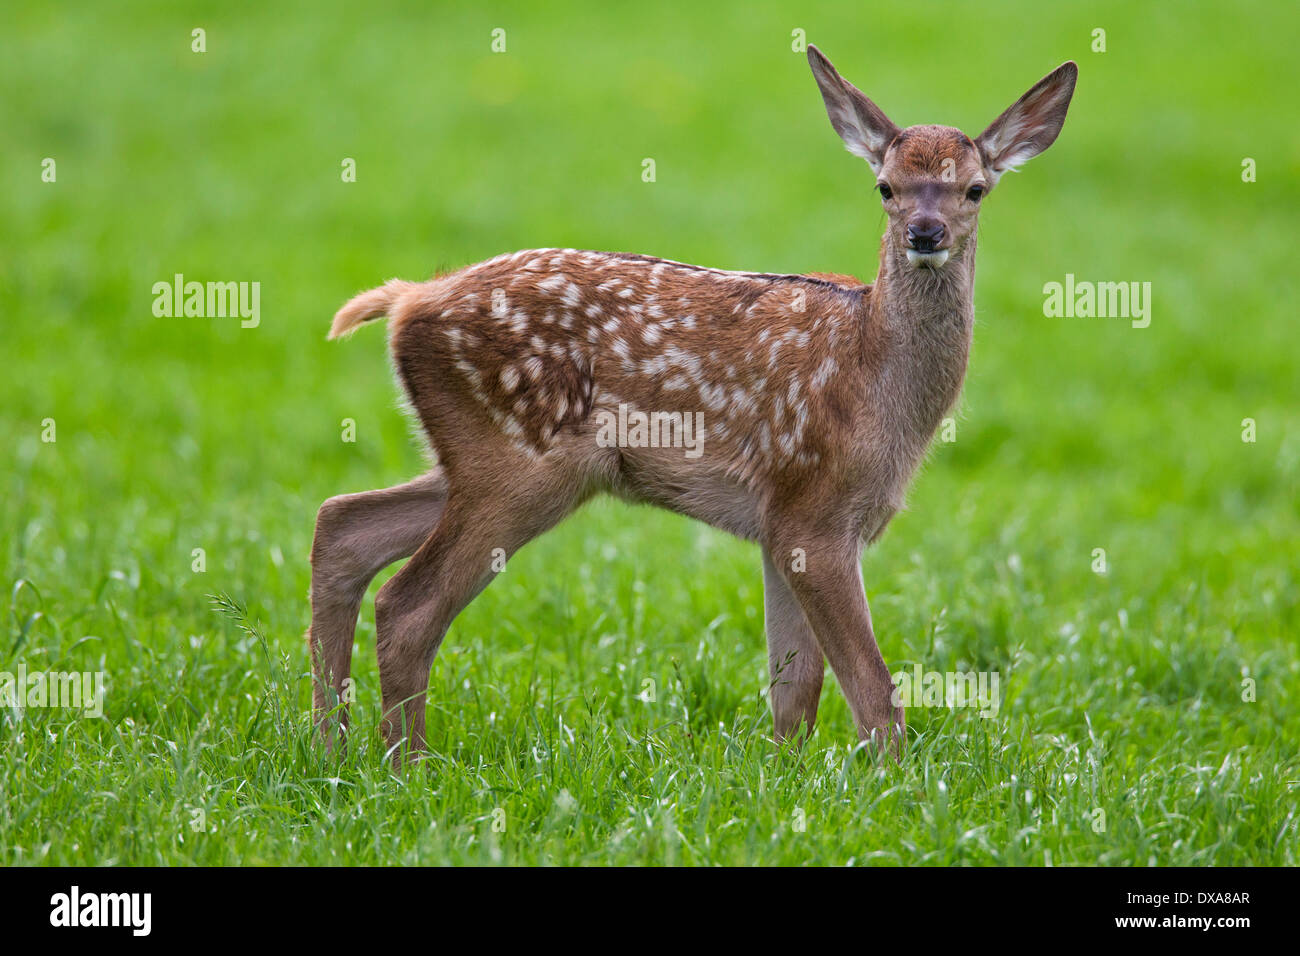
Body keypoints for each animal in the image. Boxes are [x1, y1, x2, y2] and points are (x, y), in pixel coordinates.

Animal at [306, 44, 1076, 764]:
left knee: (342, 524)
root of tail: (409, 300)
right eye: (885, 186)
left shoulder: (782, 521)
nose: (925, 232)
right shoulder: (815, 508)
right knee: (406, 604)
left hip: (479, 459)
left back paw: (330, 749)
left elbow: (794, 688)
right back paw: (409, 768)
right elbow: (872, 688)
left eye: (974, 189)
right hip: (517, 460)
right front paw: (892, 788)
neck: (877, 377)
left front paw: (788, 783)